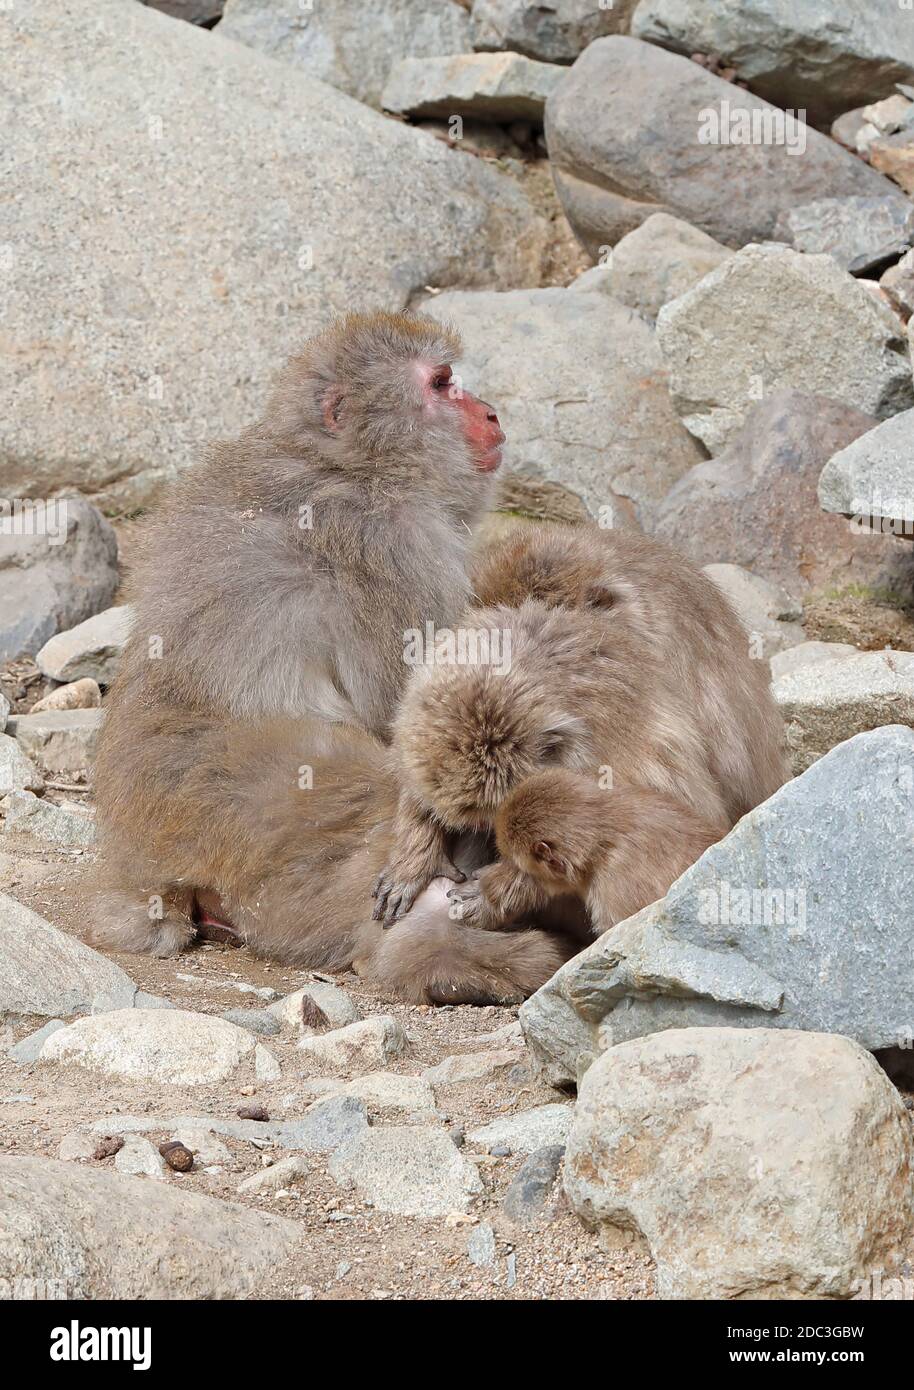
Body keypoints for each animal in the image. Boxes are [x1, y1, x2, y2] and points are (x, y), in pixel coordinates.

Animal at [91, 310, 509, 961]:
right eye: (442, 384)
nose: (490, 413)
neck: (352, 465)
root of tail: (155, 873)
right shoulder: (396, 546)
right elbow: (411, 717)